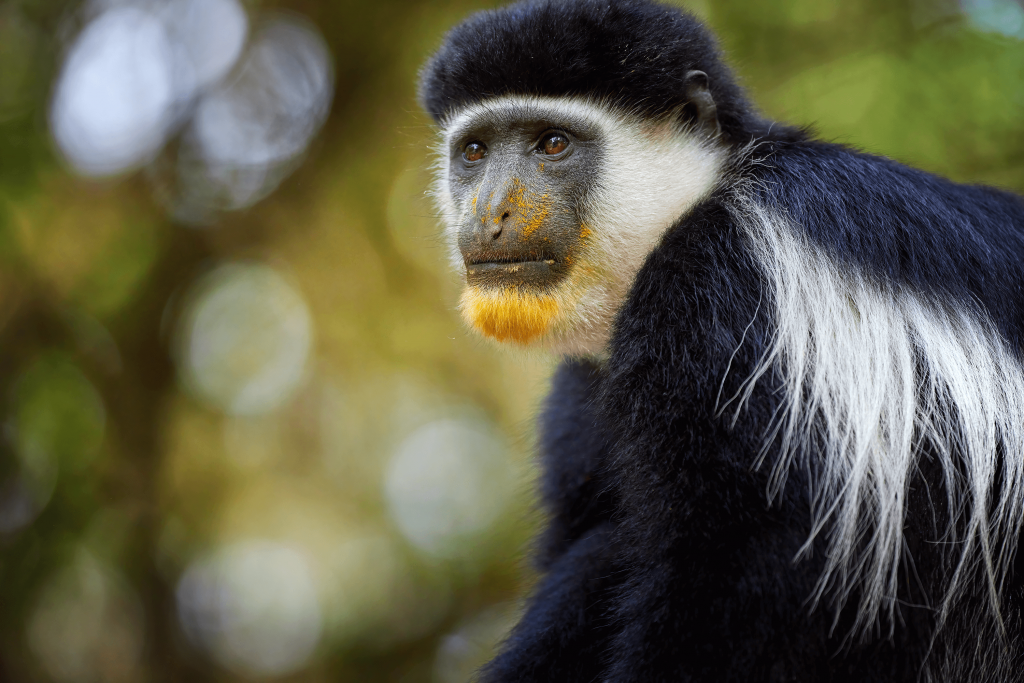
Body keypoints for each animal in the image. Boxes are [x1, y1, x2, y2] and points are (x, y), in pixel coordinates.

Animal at [418, 0, 1024, 680]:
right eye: (474, 151)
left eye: (553, 143)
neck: (703, 193)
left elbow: (758, 567)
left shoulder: (727, 296)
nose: (490, 213)